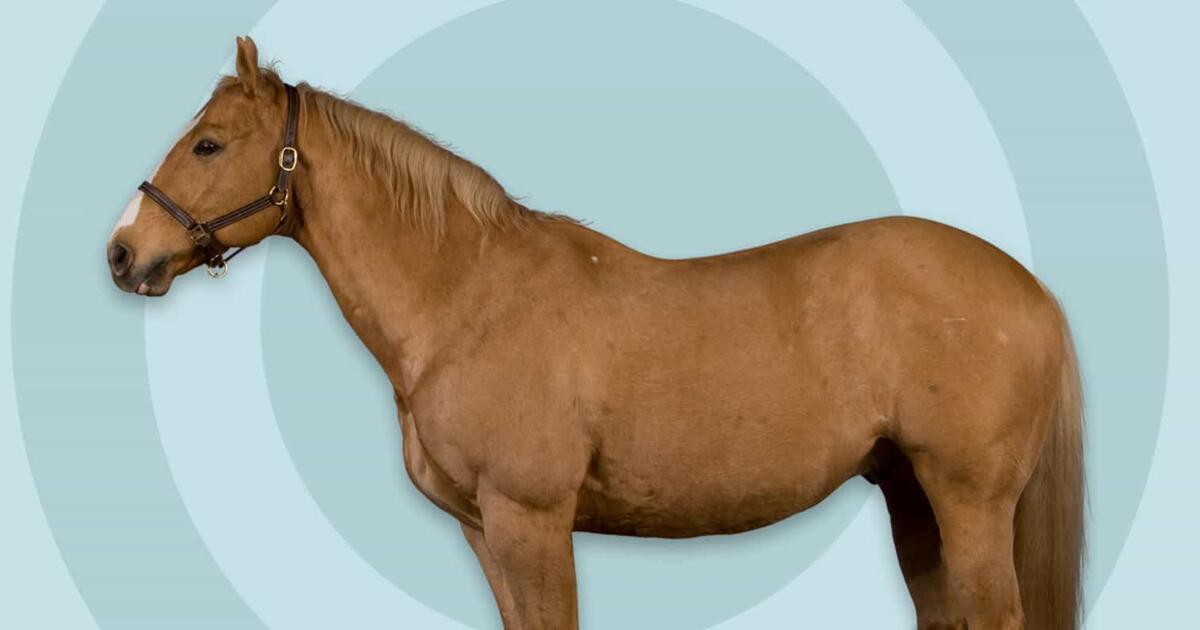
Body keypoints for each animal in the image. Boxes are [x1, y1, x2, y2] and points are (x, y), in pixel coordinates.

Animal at [107, 37, 1083, 630]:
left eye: (207, 144)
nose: (123, 253)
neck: (468, 299)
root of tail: (1029, 287)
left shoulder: (531, 520)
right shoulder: (485, 531)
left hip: (969, 500)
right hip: (912, 495)